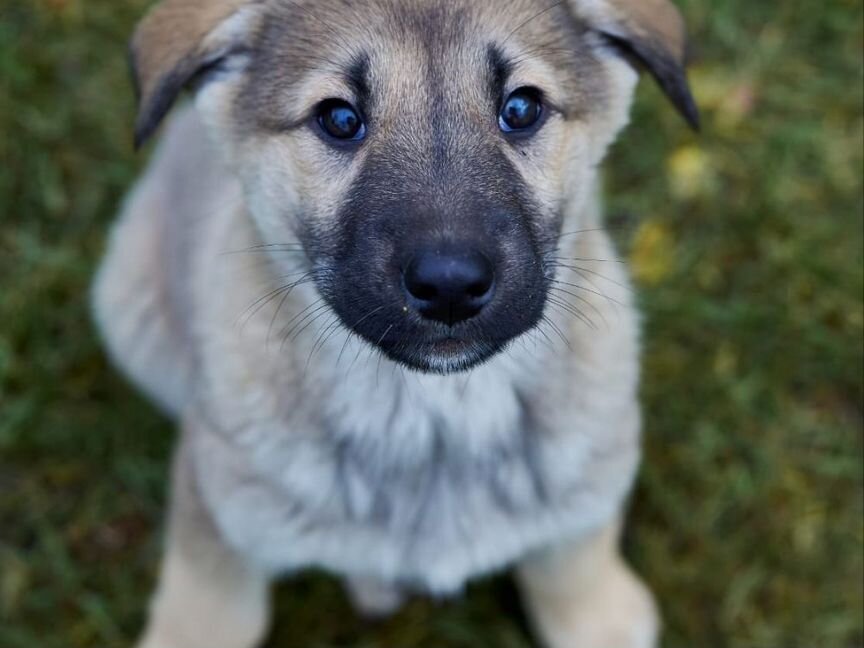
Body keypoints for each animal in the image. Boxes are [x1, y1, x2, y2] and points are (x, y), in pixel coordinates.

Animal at [91, 2, 700, 644]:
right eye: (338, 119)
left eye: (521, 109)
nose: (450, 285)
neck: (432, 418)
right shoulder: (215, 511)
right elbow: (209, 607)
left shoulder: (588, 489)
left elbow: (573, 558)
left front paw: (591, 611)